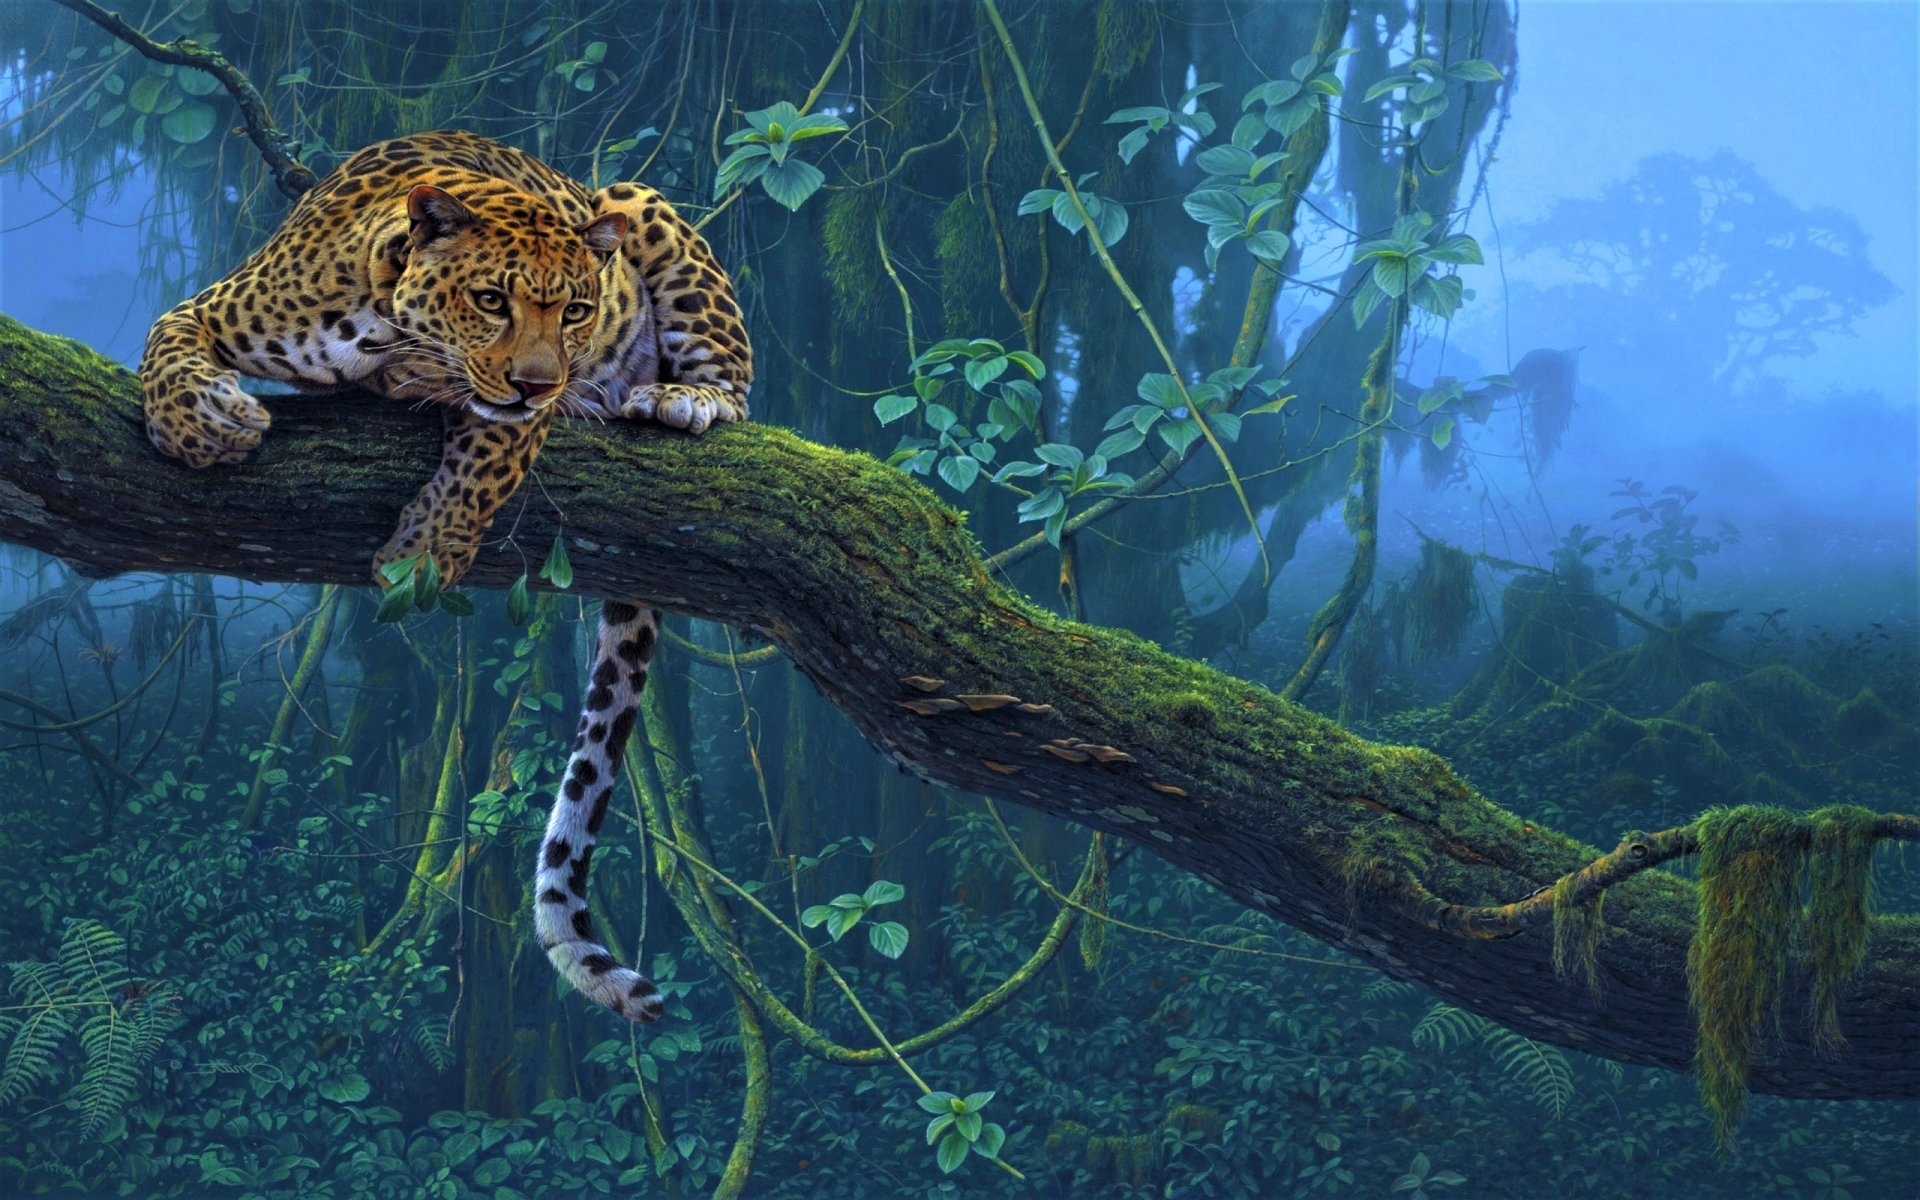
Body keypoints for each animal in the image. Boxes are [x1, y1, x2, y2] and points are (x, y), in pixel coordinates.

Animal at [139, 130, 755, 1024]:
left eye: (577, 310)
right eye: (492, 300)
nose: (542, 381)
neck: (384, 329)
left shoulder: (516, 416)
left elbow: (486, 459)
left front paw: (423, 552)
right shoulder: (219, 305)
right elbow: (165, 338)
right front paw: (201, 424)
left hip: (638, 202)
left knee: (735, 387)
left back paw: (681, 398)